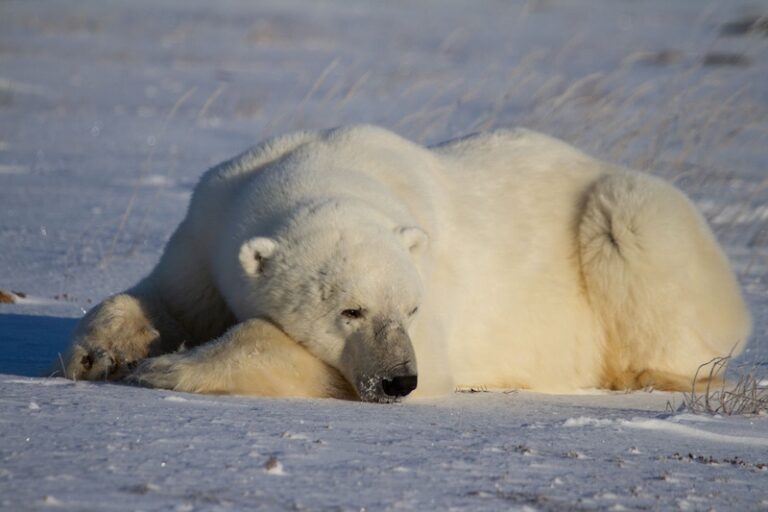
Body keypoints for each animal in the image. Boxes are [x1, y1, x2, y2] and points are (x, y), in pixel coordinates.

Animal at [59, 125, 752, 402]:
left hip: (638, 218)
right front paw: (99, 353)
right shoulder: (209, 222)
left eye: (412, 309)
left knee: (635, 227)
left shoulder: (436, 287)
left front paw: (169, 369)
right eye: (350, 309)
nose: (398, 380)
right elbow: (170, 297)